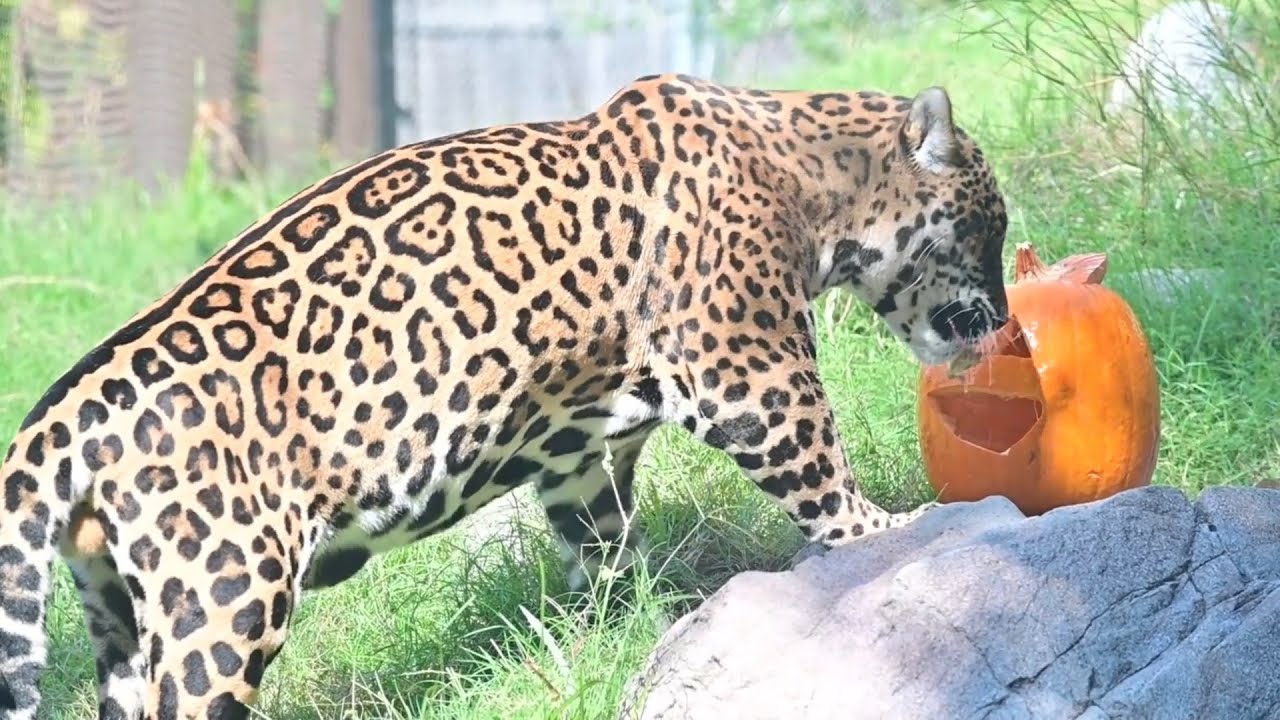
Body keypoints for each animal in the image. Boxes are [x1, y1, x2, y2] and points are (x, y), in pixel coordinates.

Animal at [0, 73, 1008, 720]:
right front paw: (888, 531)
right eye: (989, 227)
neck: (811, 177)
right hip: (222, 591)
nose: (1001, 317)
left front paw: (628, 627)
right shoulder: (742, 363)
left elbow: (599, 540)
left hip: (121, 611)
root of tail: (64, 410)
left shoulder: (583, 449)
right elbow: (819, 464)